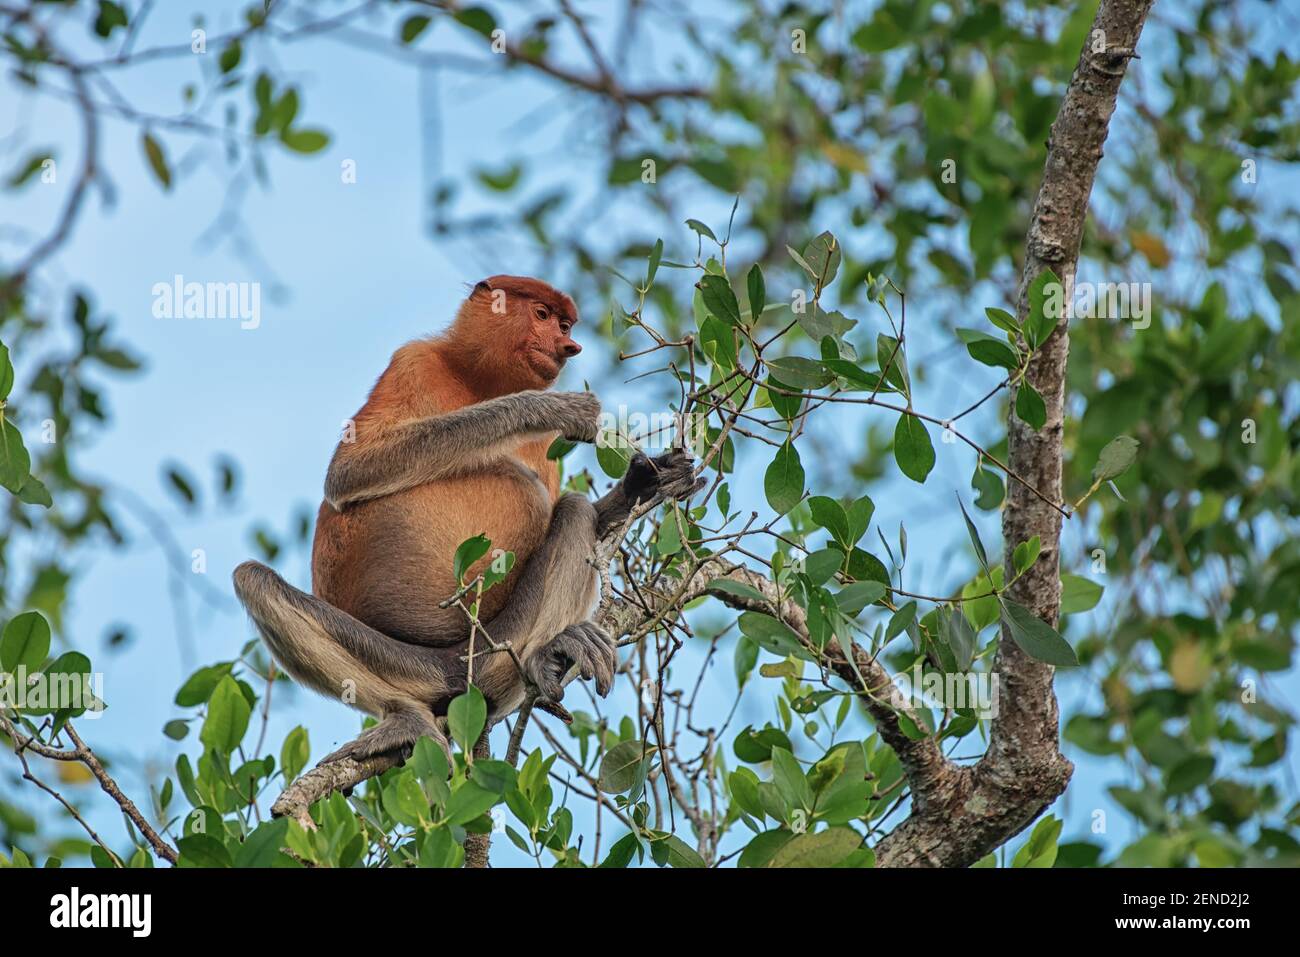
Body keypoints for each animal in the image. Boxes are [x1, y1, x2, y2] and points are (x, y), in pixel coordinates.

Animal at [232, 276, 700, 765]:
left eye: (566, 324)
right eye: (543, 315)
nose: (569, 346)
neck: (480, 380)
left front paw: (650, 481)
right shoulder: (412, 359)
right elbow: (350, 470)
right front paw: (546, 408)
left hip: (501, 643)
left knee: (573, 511)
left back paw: (544, 655)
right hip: (402, 660)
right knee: (255, 580)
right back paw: (406, 719)